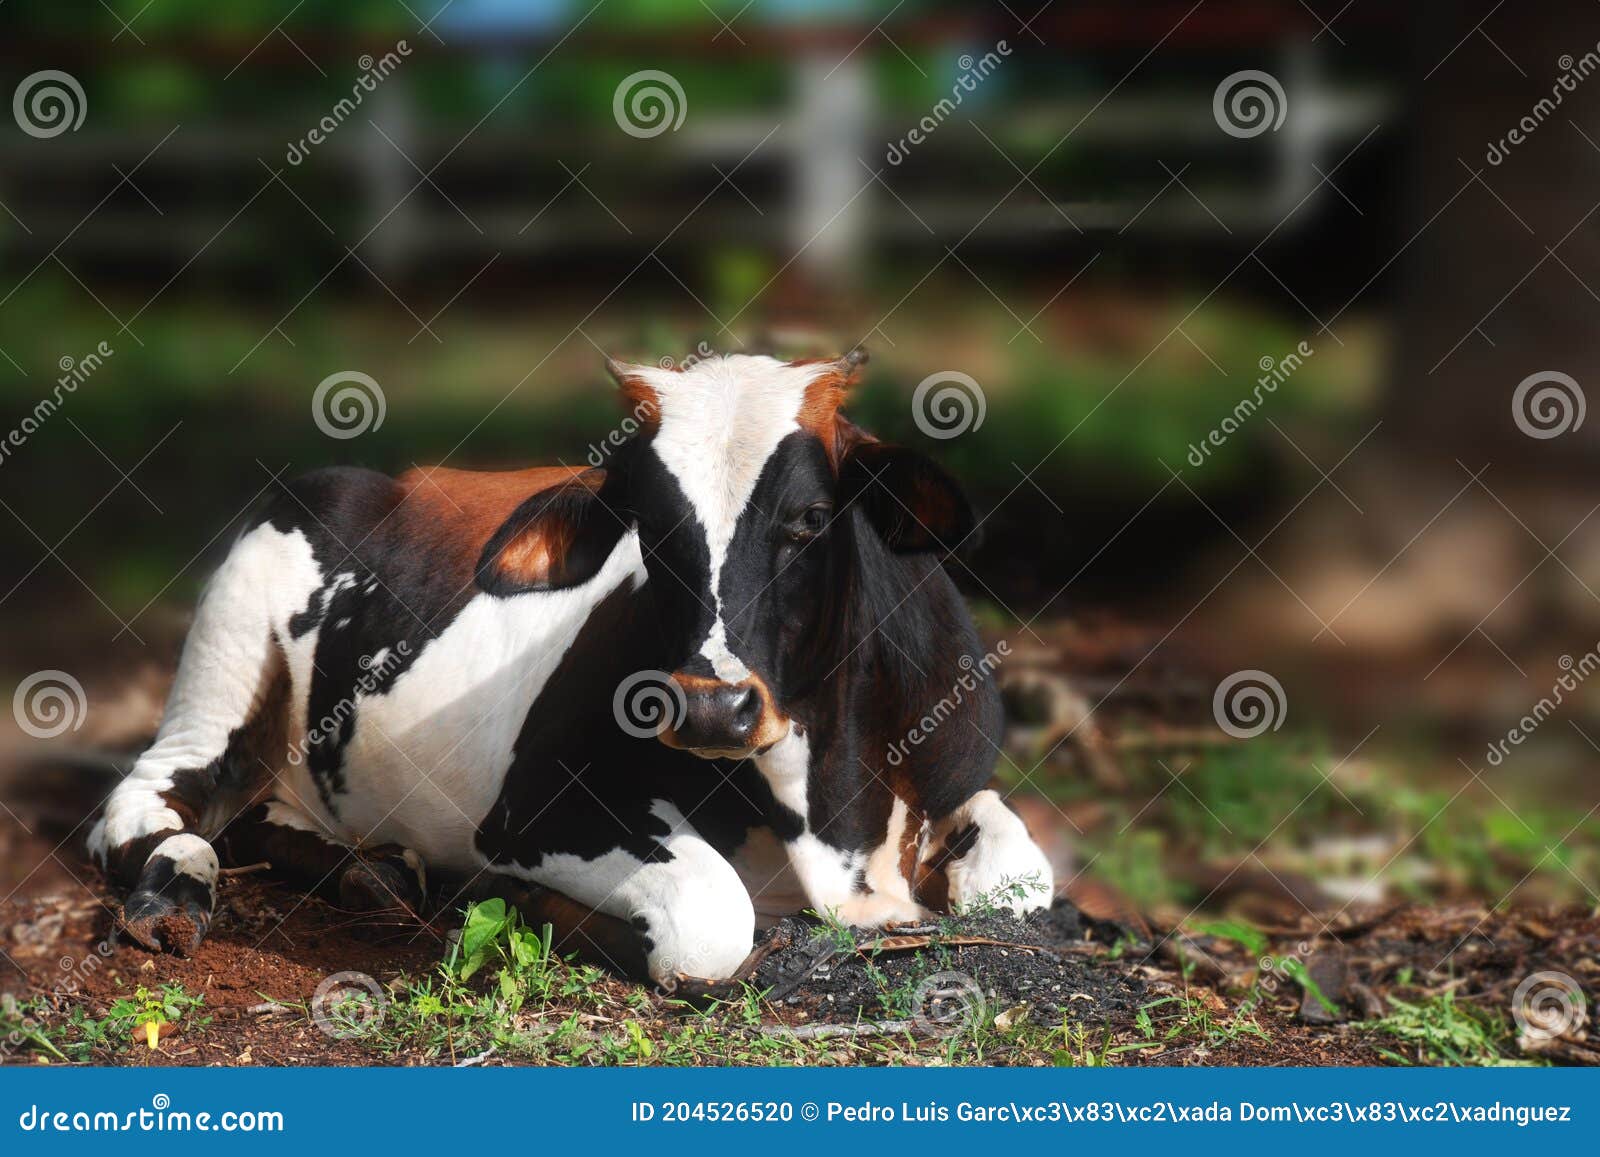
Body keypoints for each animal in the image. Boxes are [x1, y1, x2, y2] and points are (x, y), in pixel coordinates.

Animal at [89, 352, 1054, 986]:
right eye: (651, 526)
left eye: (812, 518)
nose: (711, 709)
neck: (833, 820)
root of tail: (365, 478)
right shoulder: (533, 807)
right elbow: (713, 917)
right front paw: (521, 900)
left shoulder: (958, 775)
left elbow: (1022, 879)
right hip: (218, 678)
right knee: (146, 808)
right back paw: (177, 892)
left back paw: (377, 869)